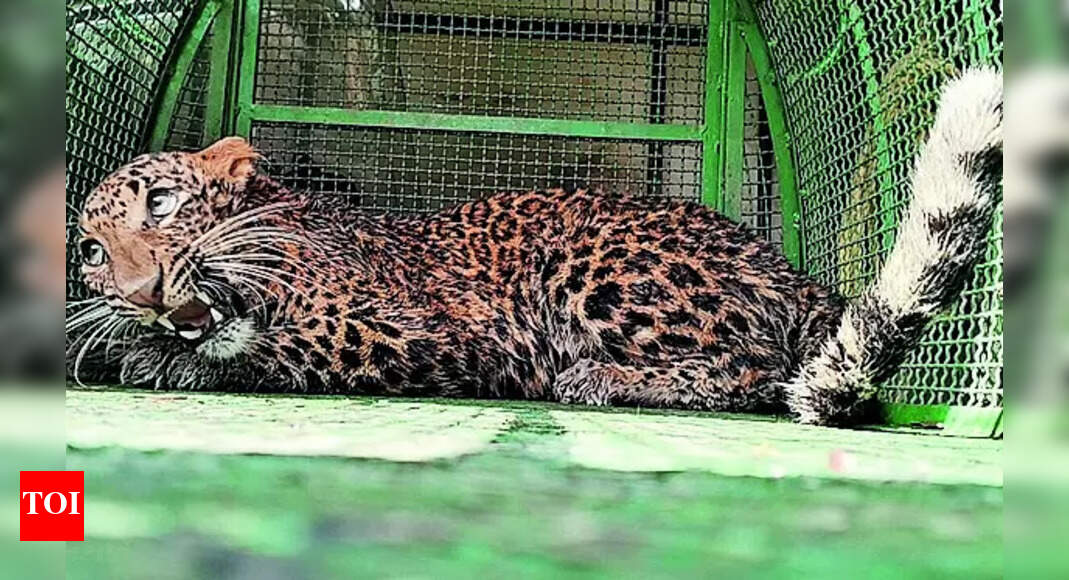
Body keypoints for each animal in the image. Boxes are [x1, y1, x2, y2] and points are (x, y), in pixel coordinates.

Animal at [67, 69, 1003, 426]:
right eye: (88, 250)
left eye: (161, 203)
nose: (144, 294)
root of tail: (797, 277)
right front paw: (134, 345)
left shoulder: (440, 332)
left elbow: (301, 343)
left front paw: (164, 360)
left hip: (591, 258)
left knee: (756, 371)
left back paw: (598, 379)